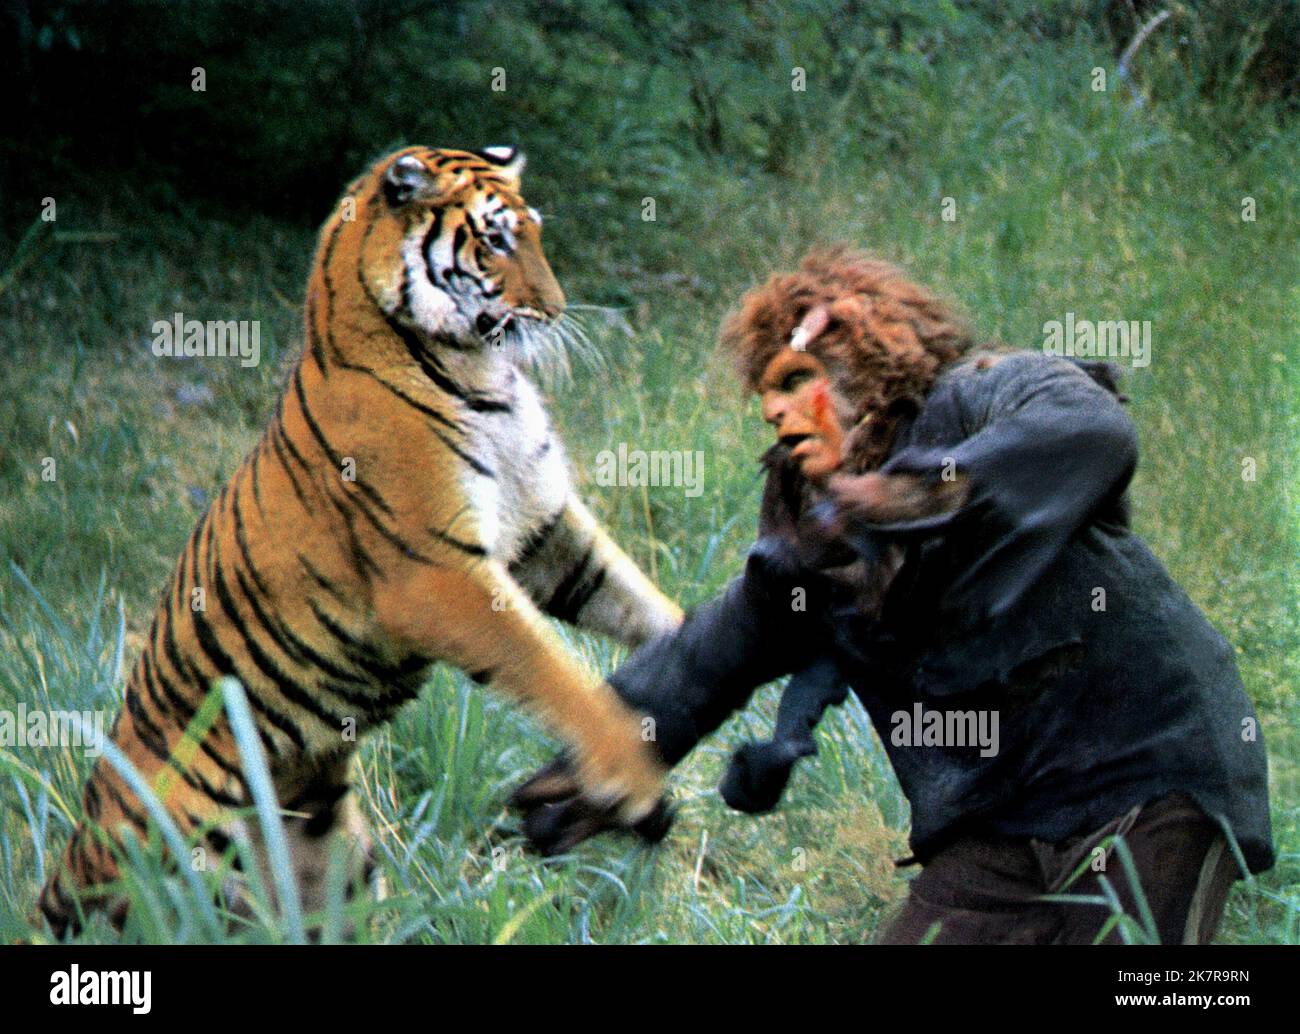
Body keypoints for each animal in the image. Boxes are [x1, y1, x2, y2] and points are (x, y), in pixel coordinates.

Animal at [37, 145, 684, 937]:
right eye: (498, 240)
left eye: (531, 231)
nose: (557, 309)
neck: (480, 372)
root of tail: (87, 822)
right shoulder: (436, 574)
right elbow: (550, 669)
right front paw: (628, 769)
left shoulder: (541, 529)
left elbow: (626, 596)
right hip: (164, 869)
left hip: (330, 855)